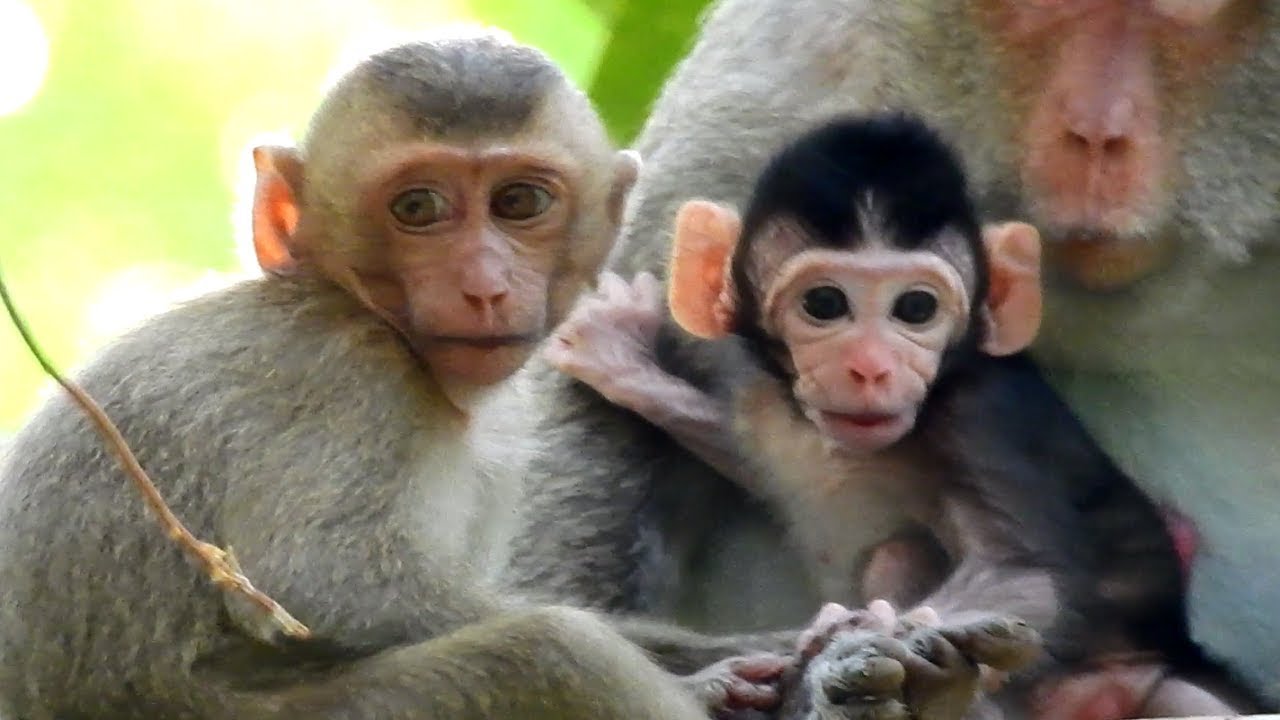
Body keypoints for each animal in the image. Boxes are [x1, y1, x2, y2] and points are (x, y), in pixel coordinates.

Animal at [0, 33, 810, 720]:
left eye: (519, 202)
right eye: (417, 207)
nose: (483, 286)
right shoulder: (346, 376)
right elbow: (320, 583)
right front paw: (705, 678)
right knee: (550, 650)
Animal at [503, 1, 1280, 716]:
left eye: (915, 309)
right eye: (824, 305)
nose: (1095, 135)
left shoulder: (977, 421)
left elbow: (1028, 574)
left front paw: (888, 643)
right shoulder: (773, 88)